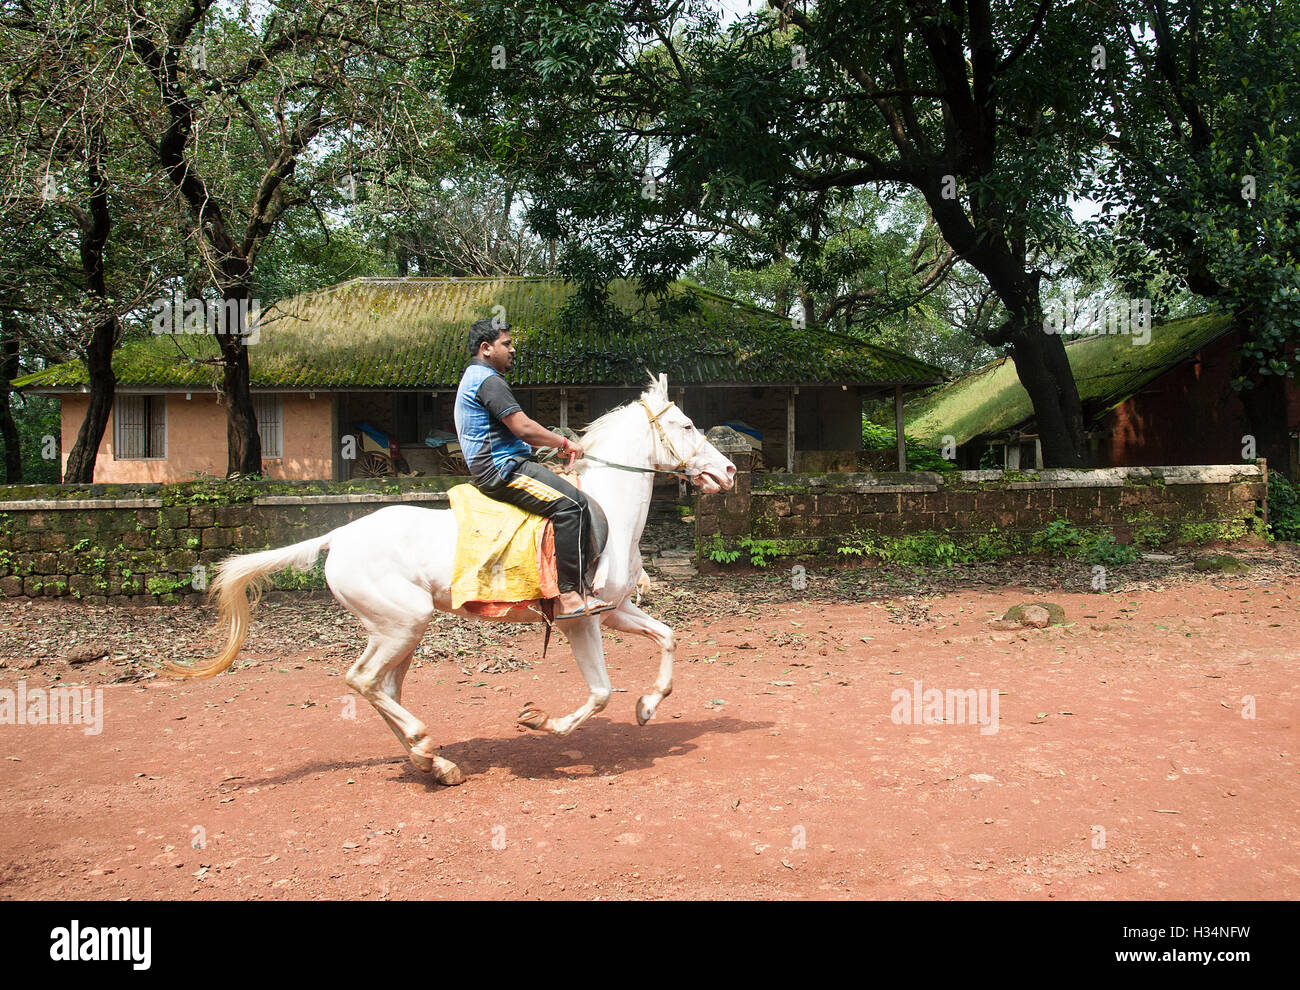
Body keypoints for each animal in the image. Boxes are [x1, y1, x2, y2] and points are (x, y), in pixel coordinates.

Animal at [161, 373, 737, 786]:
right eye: (688, 426)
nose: (729, 472)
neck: (608, 511)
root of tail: (338, 537)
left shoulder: (614, 609)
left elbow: (668, 638)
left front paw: (647, 707)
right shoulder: (579, 618)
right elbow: (598, 693)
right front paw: (539, 721)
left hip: (398, 631)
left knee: (383, 687)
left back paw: (432, 763)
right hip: (403, 623)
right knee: (362, 681)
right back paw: (425, 746)